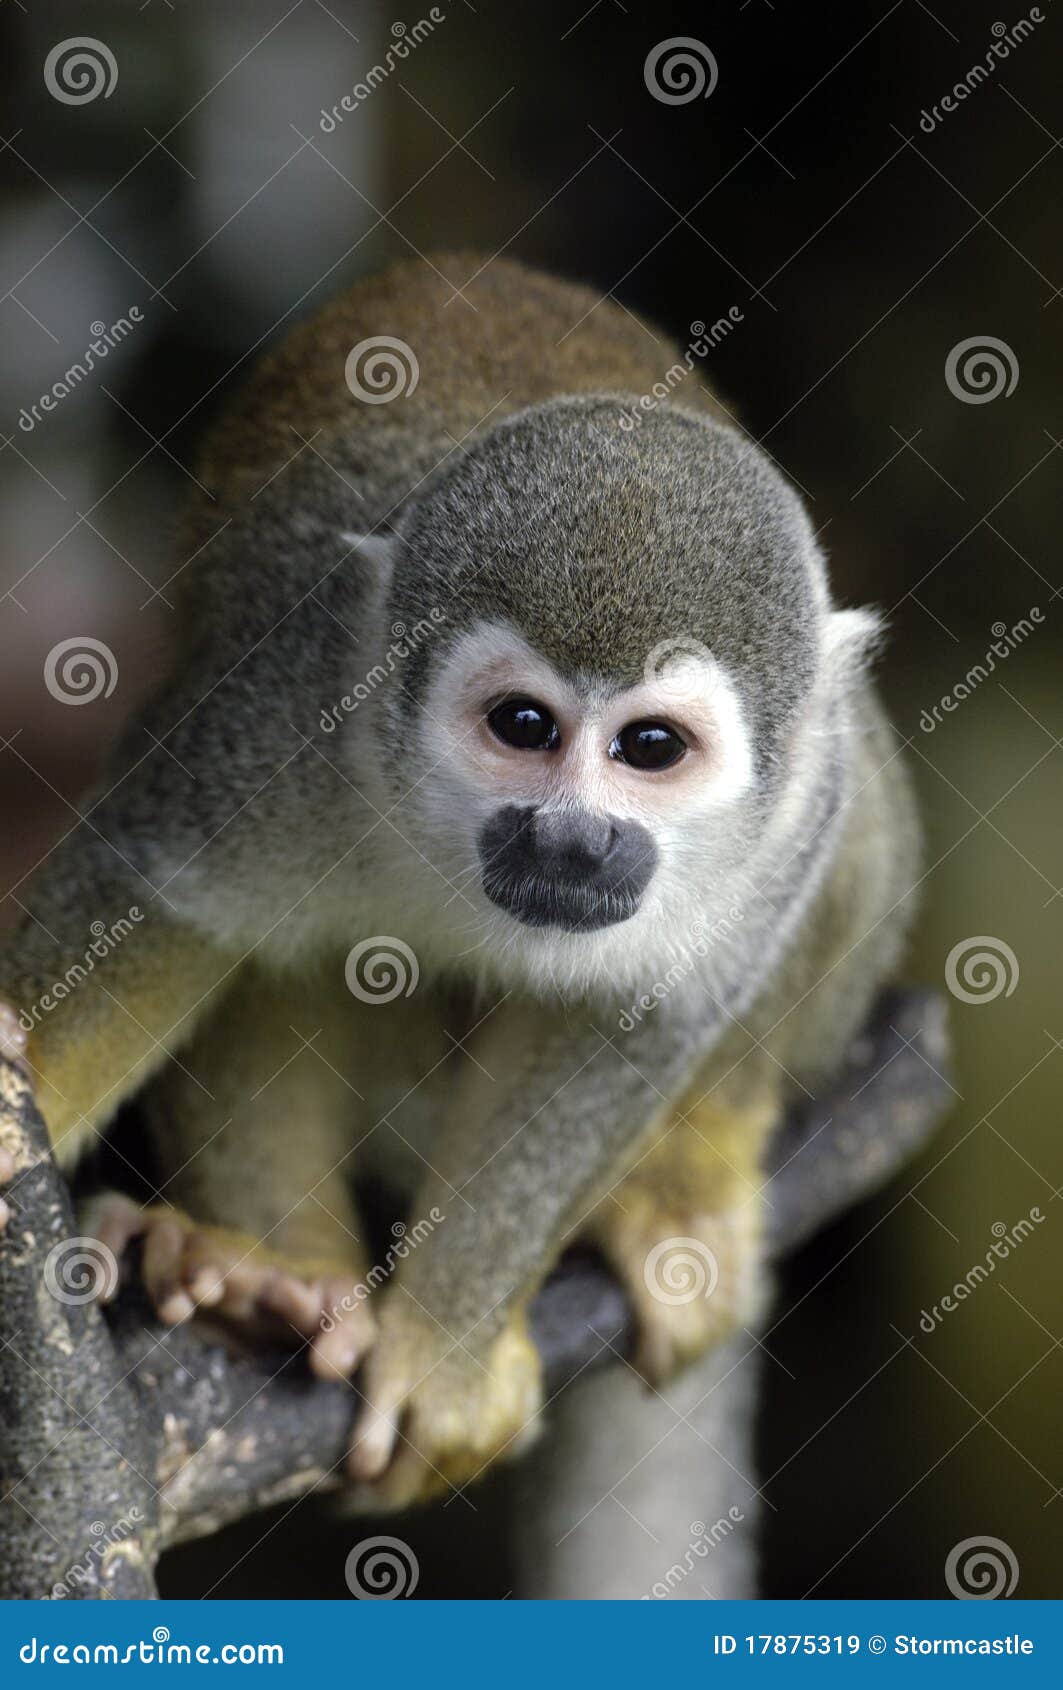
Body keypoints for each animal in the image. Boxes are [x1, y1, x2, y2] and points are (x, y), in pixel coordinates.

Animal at [0, 253, 918, 1593]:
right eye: (523, 727)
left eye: (651, 748)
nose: (573, 839)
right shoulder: (291, 694)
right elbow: (162, 899)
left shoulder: (782, 816)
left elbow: (640, 1024)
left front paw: (440, 1350)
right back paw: (263, 1275)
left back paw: (686, 1176)